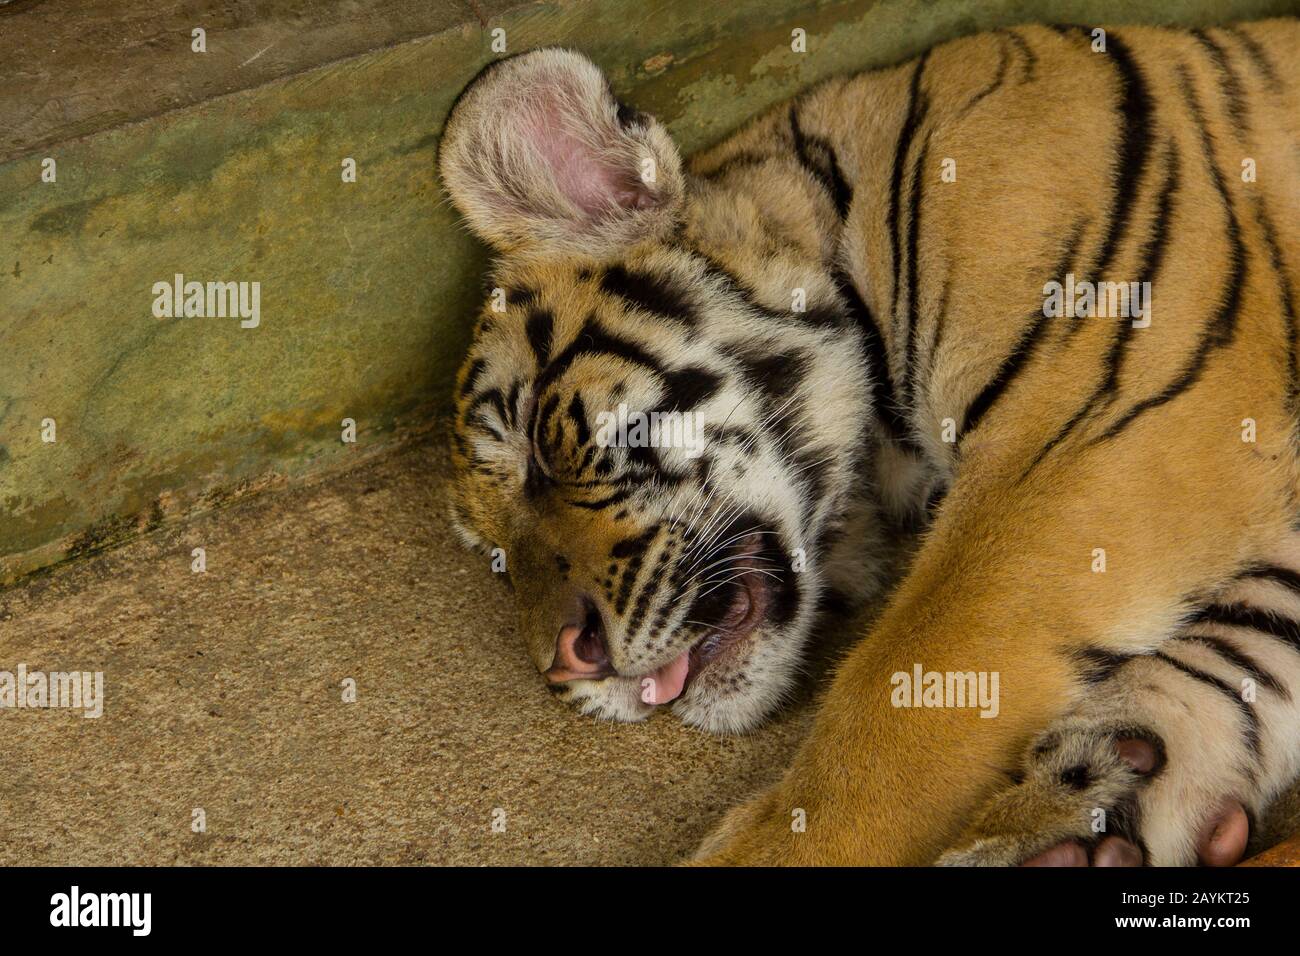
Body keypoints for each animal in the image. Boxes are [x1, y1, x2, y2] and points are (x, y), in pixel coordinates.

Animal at [436, 19, 1300, 865]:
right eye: (493, 554)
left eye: (538, 442)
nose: (564, 662)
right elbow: (1259, 637)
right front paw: (1097, 795)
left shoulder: (1092, 423)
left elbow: (904, 688)